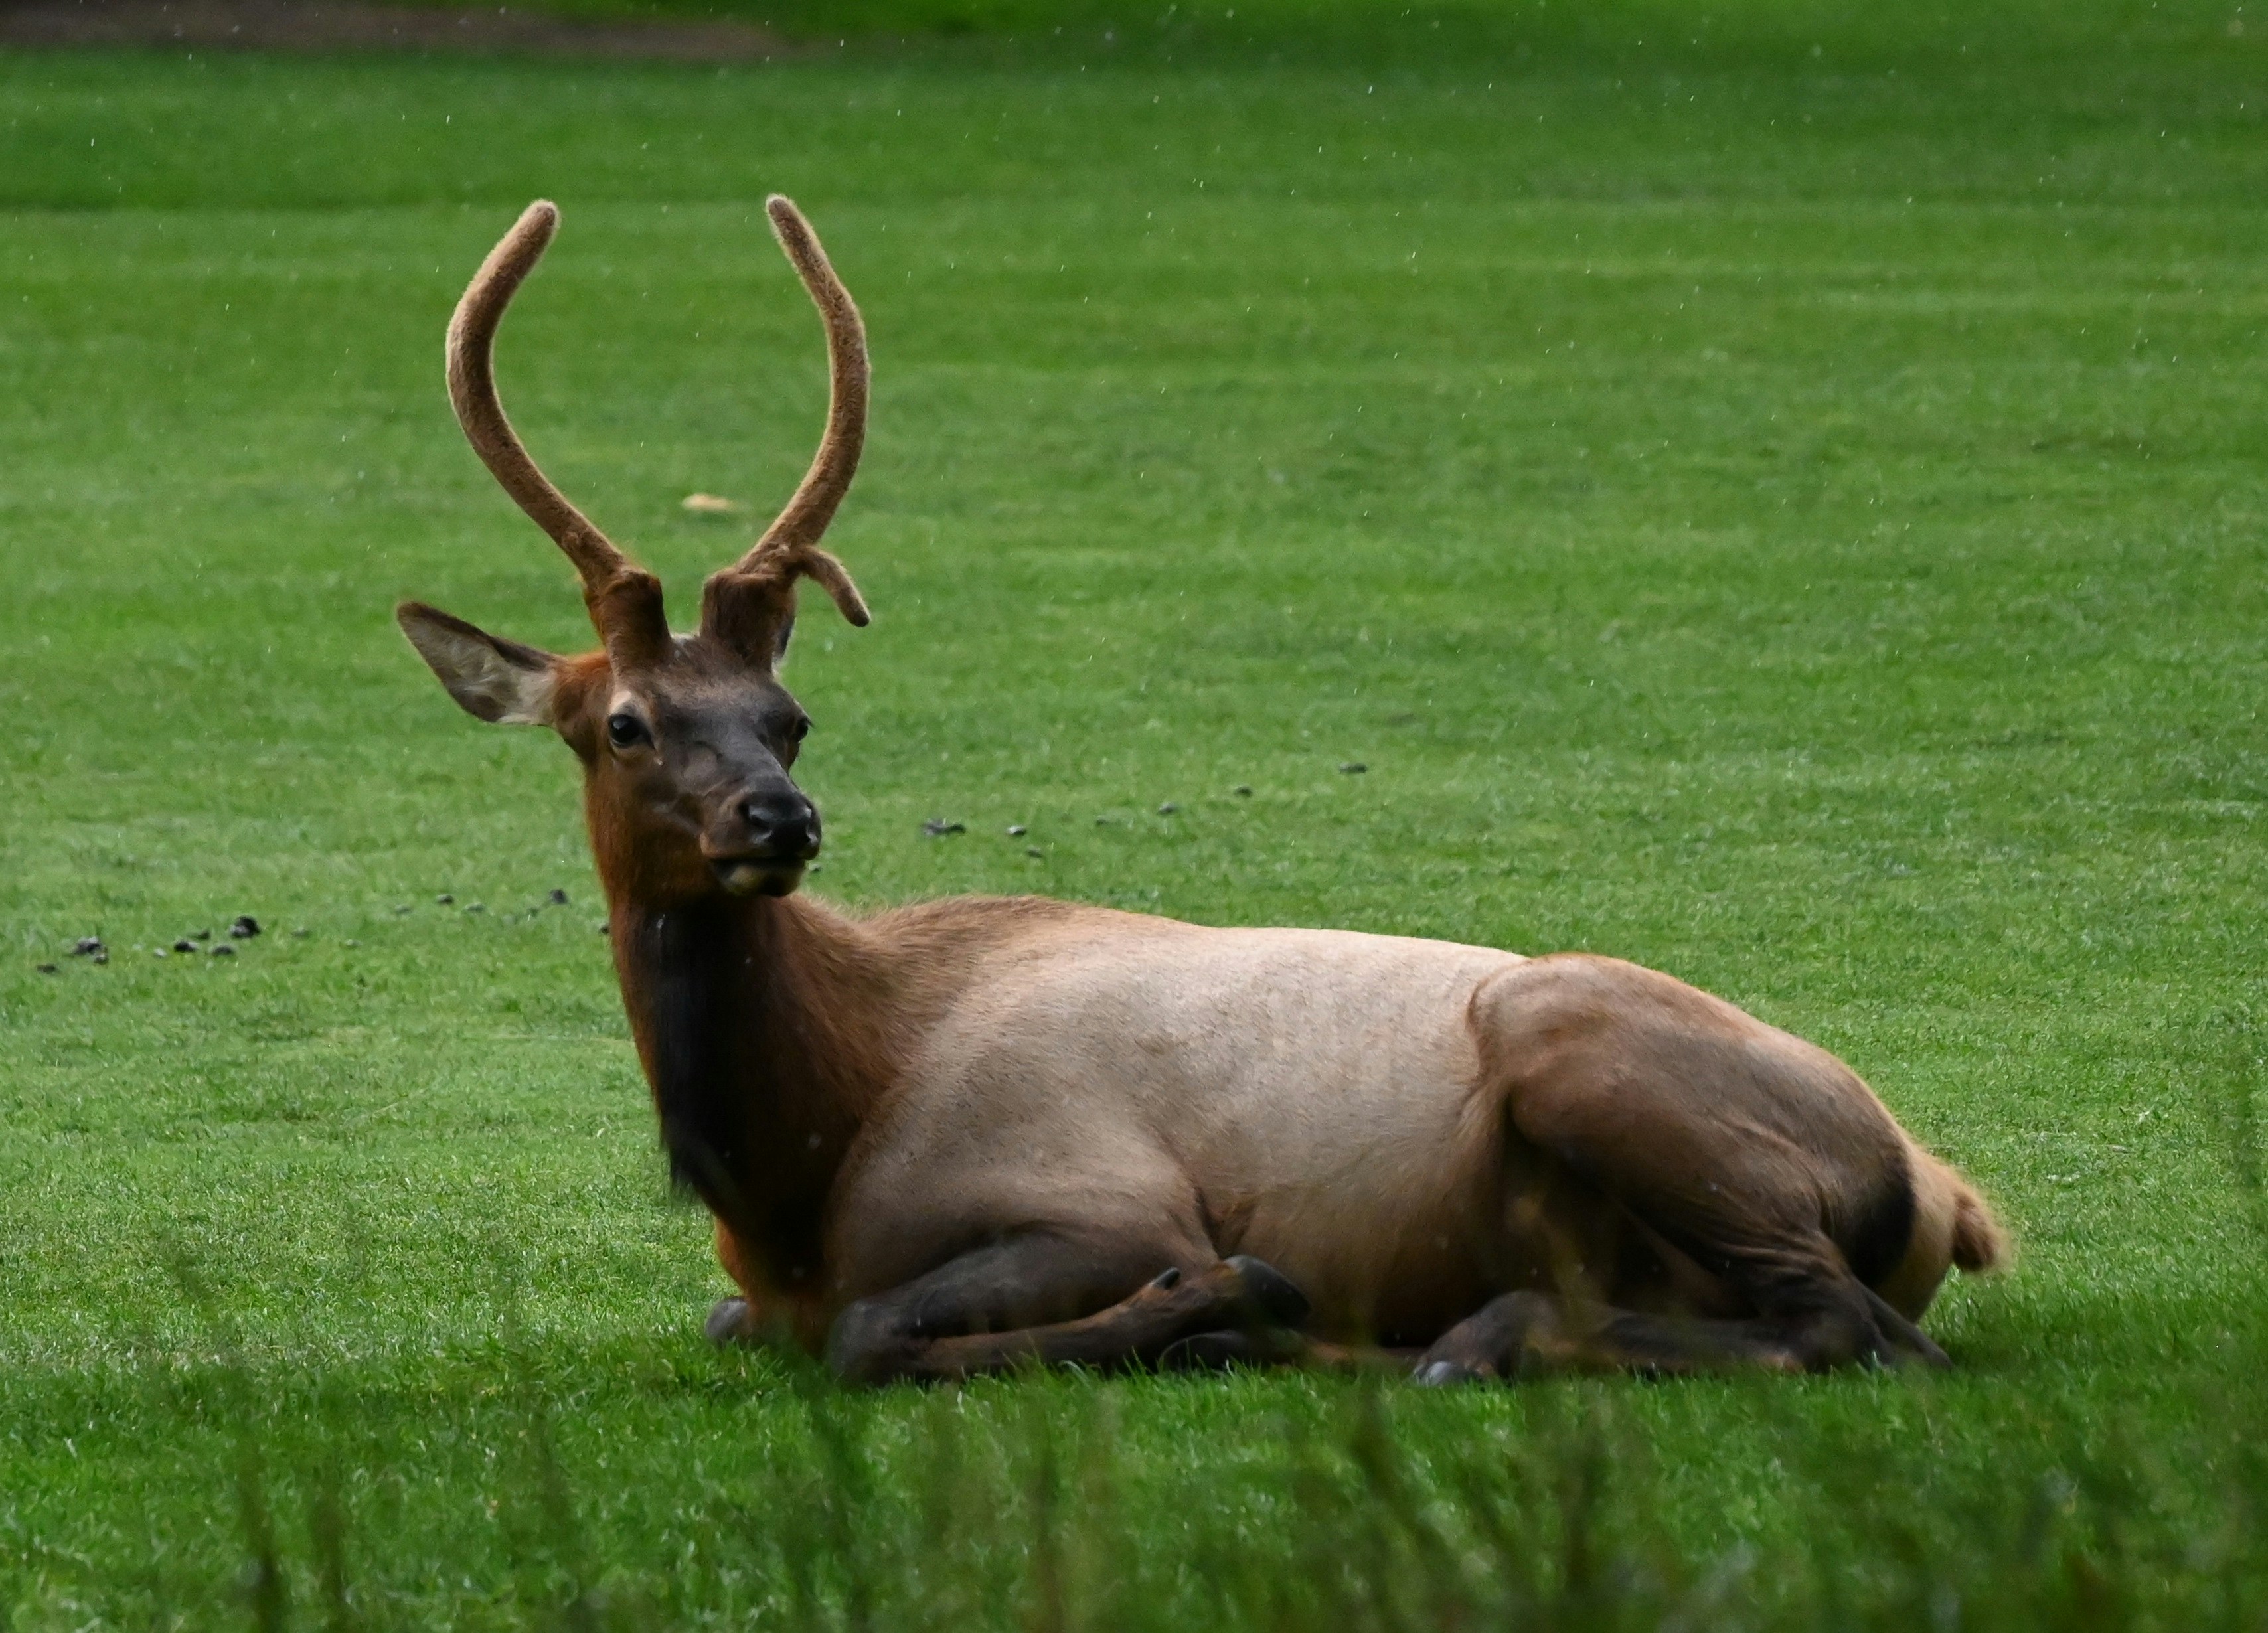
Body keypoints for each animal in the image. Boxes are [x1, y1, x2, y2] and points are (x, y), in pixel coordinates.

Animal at [396, 197, 2007, 1386]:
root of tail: (1943, 1187)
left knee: (1857, 1329)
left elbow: (871, 1334)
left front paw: (1227, 1302)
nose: (778, 821)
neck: (800, 1162)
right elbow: (745, 1322)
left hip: (1575, 1037)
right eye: (624, 723)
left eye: (787, 718)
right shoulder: (753, 1291)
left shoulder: (1105, 1200)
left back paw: (1459, 1335)